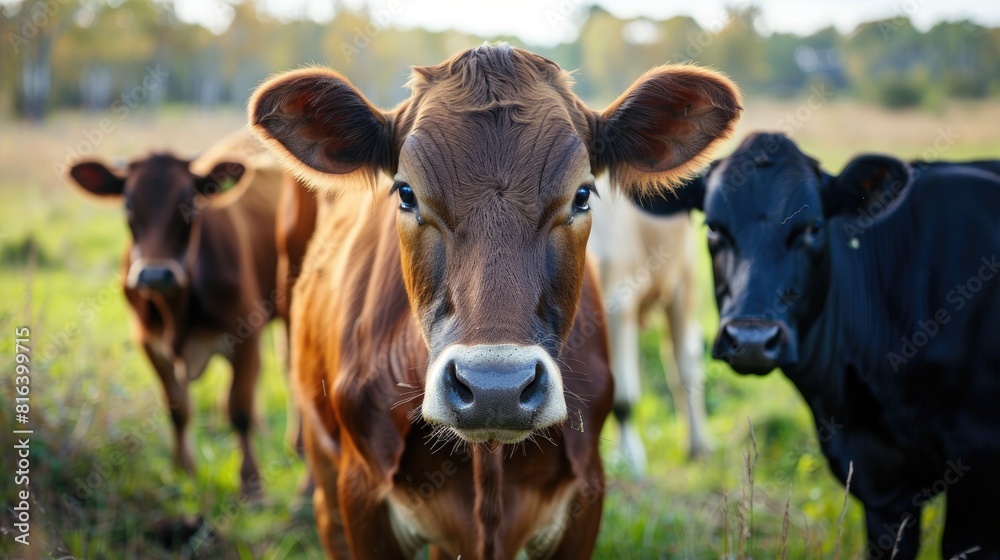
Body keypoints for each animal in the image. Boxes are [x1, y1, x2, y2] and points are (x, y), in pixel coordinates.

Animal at [67, 129, 287, 496]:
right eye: (127, 205)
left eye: (190, 203)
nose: (155, 275)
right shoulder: (149, 343)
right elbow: (178, 408)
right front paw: (183, 473)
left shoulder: (245, 334)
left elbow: (238, 408)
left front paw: (251, 483)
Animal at [588, 188, 710, 473]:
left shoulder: (619, 302)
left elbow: (622, 395)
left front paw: (629, 458)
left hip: (682, 277)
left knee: (685, 358)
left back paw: (697, 445)